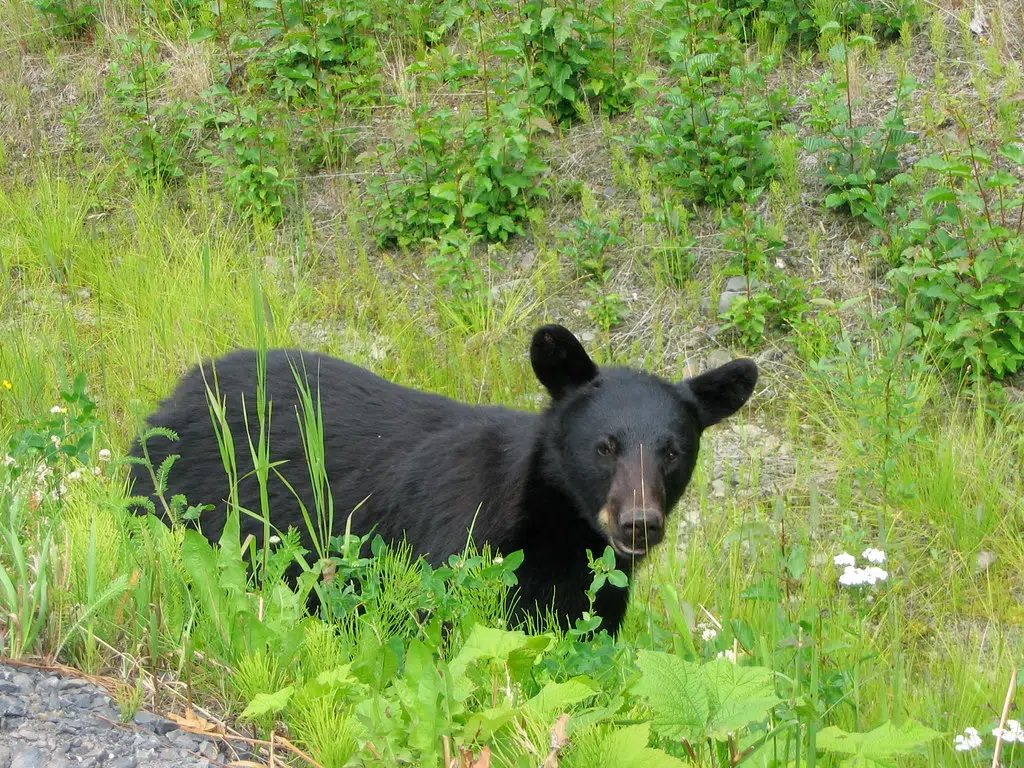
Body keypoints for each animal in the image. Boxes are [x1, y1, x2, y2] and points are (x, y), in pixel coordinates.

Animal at [127, 325, 758, 634]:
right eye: (605, 446)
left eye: (674, 451)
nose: (638, 524)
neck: (556, 527)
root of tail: (178, 391)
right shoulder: (459, 542)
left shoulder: (591, 590)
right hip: (181, 499)